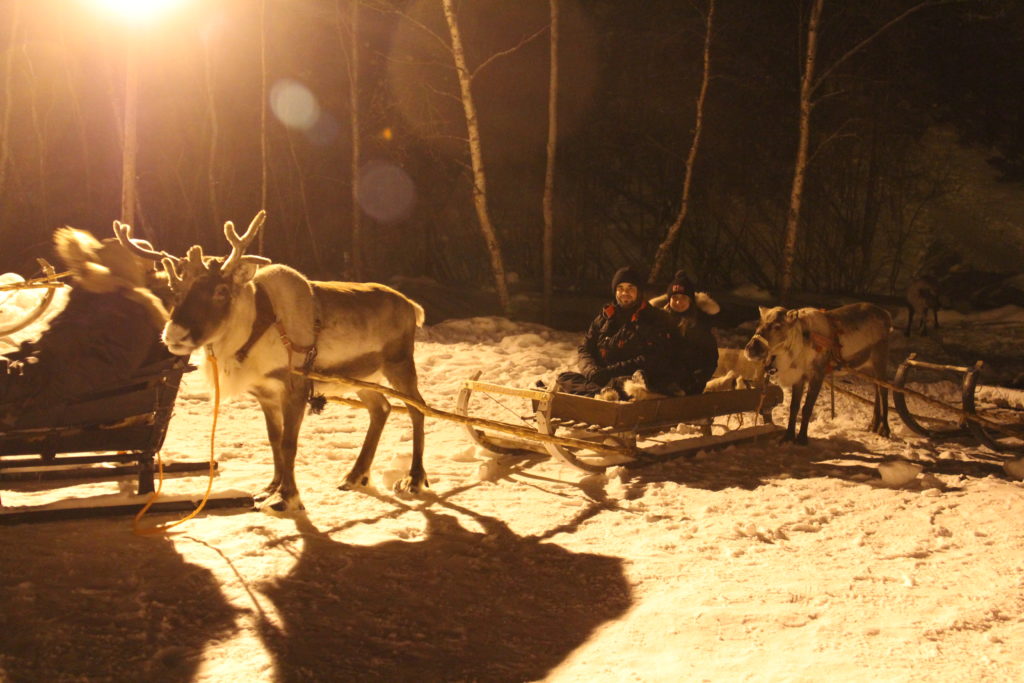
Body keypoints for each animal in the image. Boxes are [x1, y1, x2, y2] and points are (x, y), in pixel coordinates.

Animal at [115, 210, 427, 512]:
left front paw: (287, 497)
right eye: (175, 290)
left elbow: (289, 444)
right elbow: (274, 440)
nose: (174, 334)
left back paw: (414, 479)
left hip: (399, 364)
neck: (255, 328)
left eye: (221, 290)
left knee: (417, 408)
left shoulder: (296, 389)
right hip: (363, 377)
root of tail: (412, 305)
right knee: (381, 408)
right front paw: (270, 488)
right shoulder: (265, 393)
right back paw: (354, 475)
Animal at [743, 303, 892, 445]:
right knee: (877, 388)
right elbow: (794, 407)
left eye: (777, 326)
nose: (750, 349)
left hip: (880, 359)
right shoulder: (799, 377)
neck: (800, 343)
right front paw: (788, 437)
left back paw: (884, 429)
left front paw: (802, 438)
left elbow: (807, 408)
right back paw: (873, 425)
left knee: (884, 390)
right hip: (866, 366)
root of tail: (886, 314)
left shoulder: (817, 375)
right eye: (759, 324)